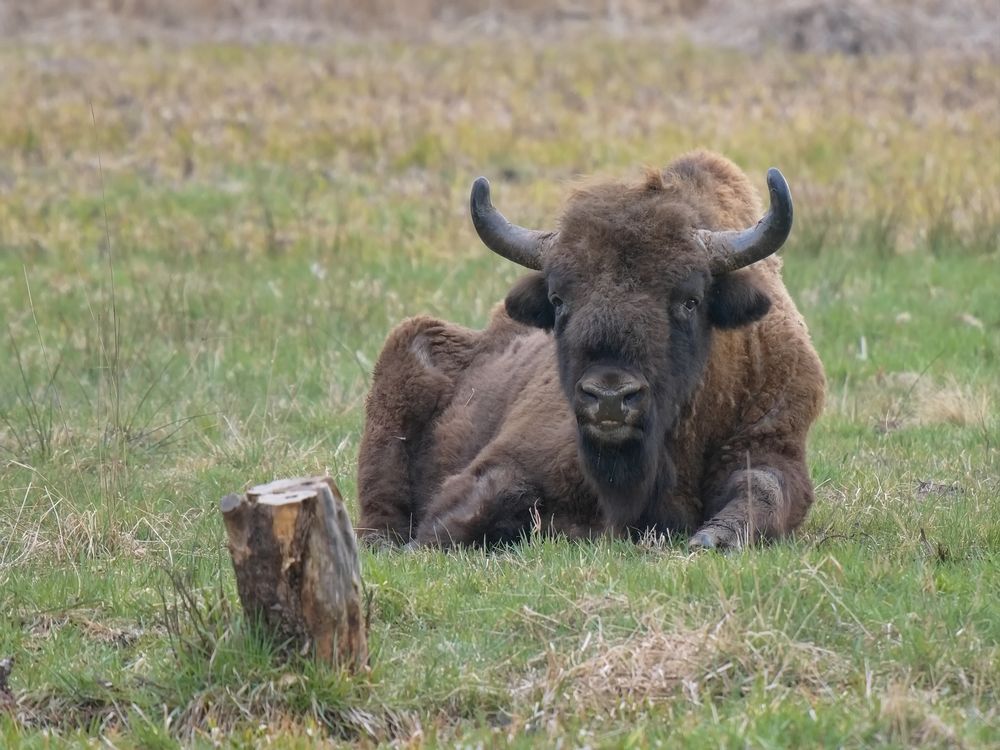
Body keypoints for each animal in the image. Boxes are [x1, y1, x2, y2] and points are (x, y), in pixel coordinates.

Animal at [356, 151, 824, 552]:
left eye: (690, 300)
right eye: (559, 299)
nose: (611, 398)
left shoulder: (774, 444)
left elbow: (765, 489)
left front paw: (713, 539)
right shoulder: (511, 457)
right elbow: (479, 499)